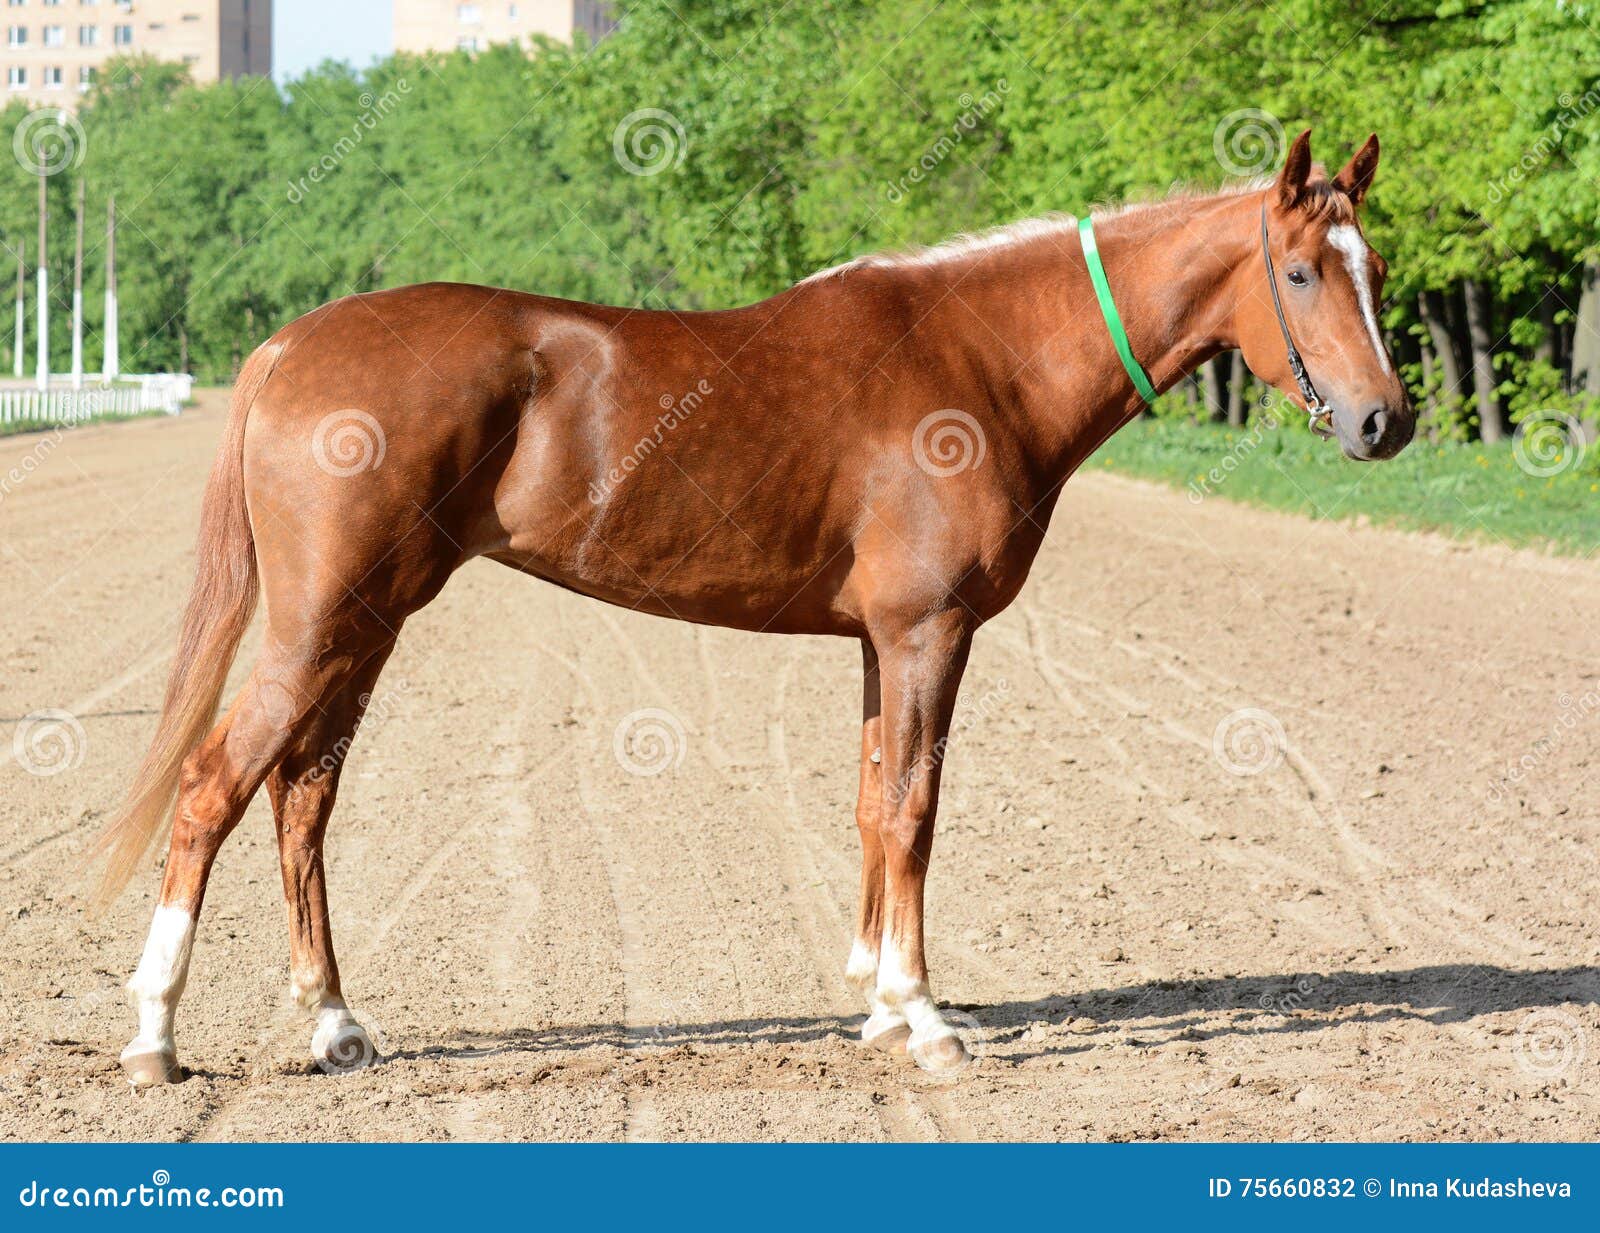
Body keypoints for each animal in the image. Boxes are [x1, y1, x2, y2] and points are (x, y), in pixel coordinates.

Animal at [97, 129, 1412, 1086]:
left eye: (1380, 273)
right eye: (1301, 271)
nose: (1383, 421)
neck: (982, 359)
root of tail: (290, 345)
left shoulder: (883, 644)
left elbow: (873, 806)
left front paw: (879, 1004)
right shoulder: (929, 633)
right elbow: (915, 811)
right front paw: (926, 1020)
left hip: (365, 627)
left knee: (300, 798)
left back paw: (334, 1025)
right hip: (318, 624)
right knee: (214, 787)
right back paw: (156, 1036)